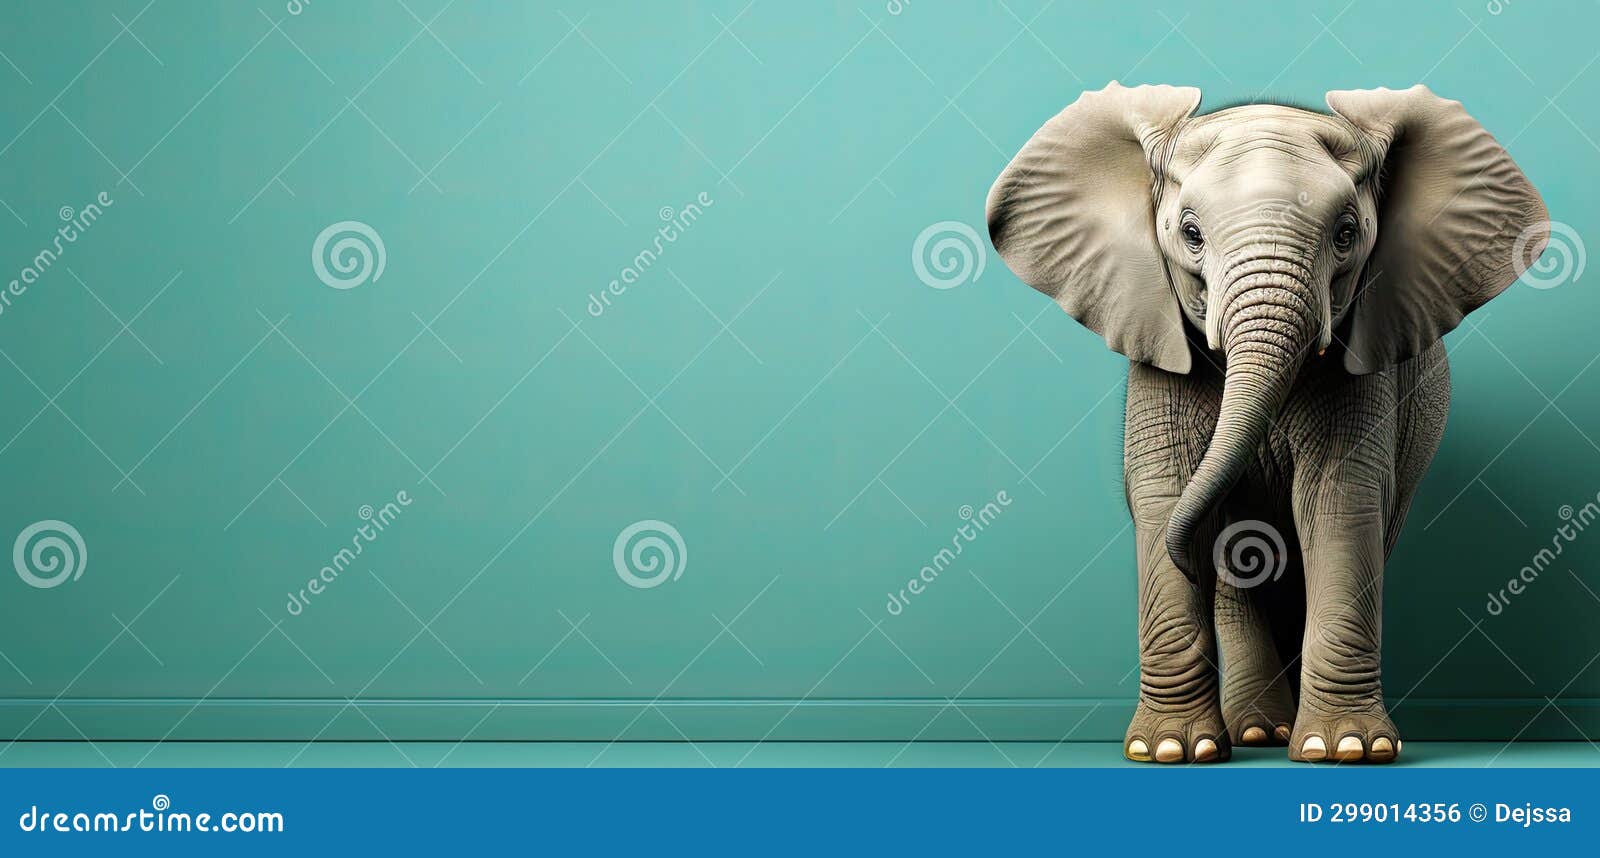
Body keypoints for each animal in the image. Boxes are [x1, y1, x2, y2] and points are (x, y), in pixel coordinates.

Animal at [987, 83, 1547, 763]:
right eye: (1190, 234)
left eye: (1347, 233)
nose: (1187, 559)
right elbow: (1165, 494)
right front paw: (1170, 751)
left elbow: (1338, 504)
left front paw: (1347, 749)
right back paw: (1257, 731)